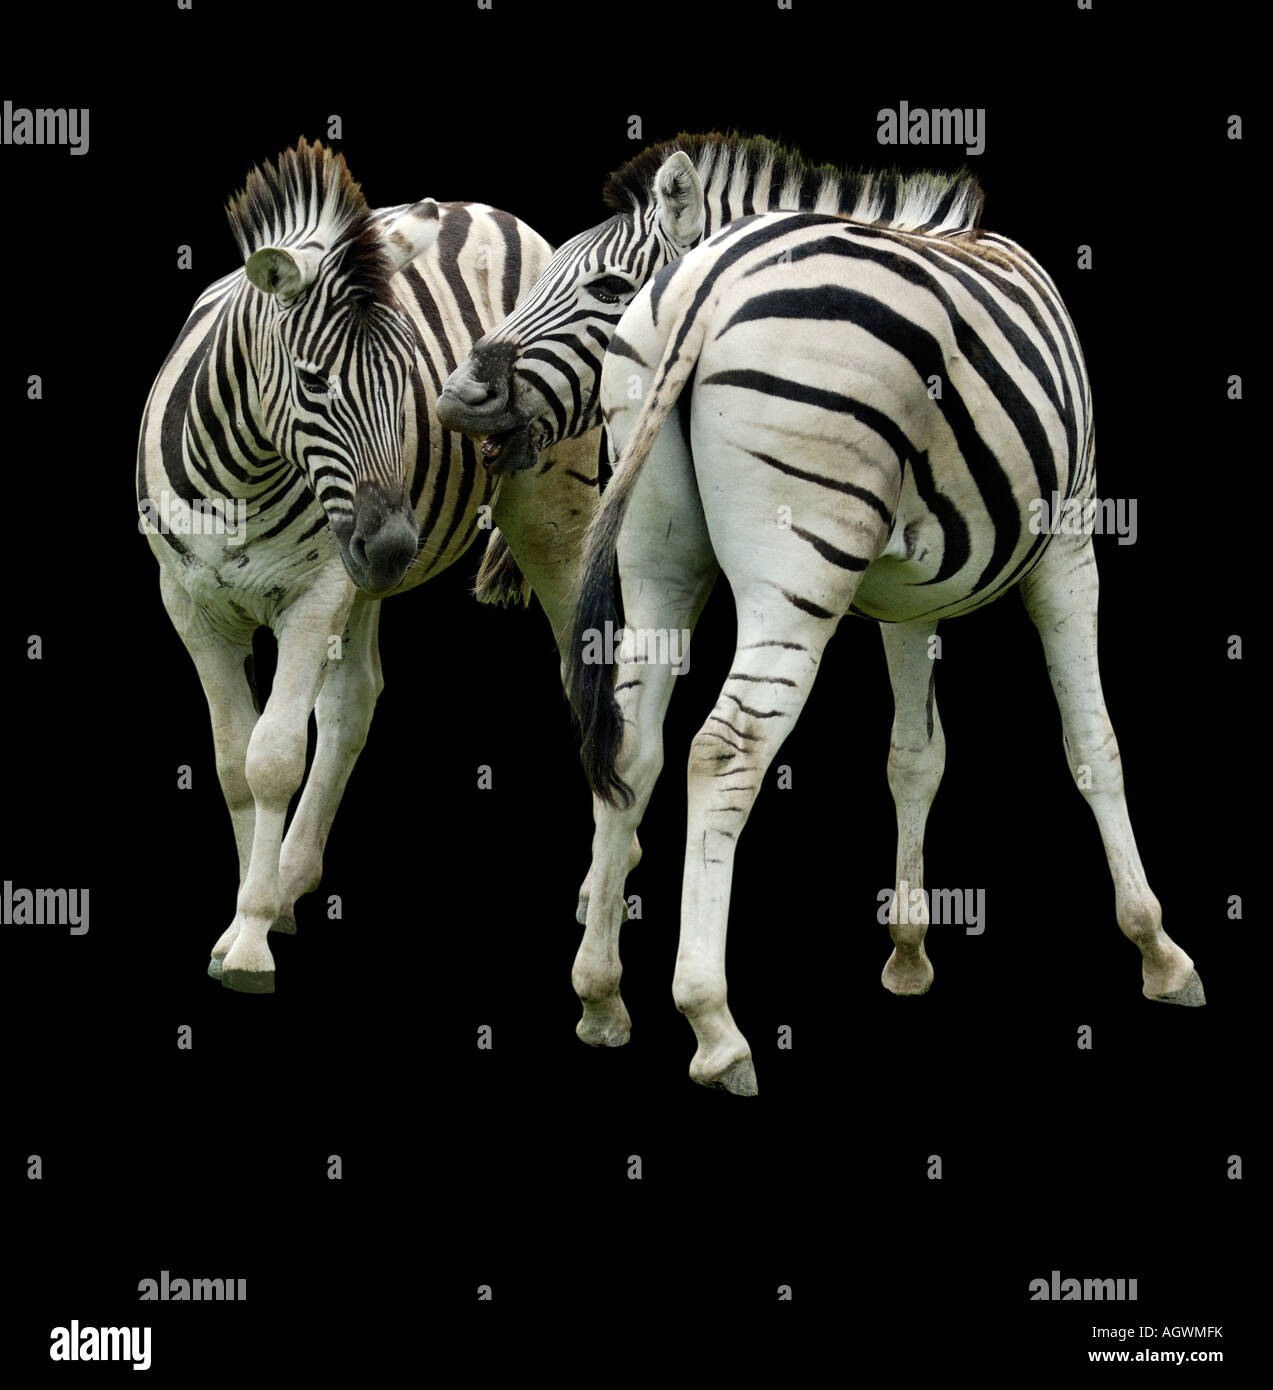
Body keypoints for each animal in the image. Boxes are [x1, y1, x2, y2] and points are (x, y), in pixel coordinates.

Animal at [137, 140, 601, 993]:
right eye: (314, 381)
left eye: (410, 379)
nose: (391, 550)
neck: (244, 473)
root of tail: (482, 206)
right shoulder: (190, 605)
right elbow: (230, 763)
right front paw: (245, 916)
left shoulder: (313, 592)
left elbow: (272, 760)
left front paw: (248, 942)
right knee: (354, 699)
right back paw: (291, 877)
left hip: (547, 519)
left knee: (587, 670)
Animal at [564, 196, 1205, 1095]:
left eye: (603, 282)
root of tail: (707, 279)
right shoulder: (1071, 539)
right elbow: (1092, 744)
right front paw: (1157, 948)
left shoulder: (908, 595)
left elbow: (914, 757)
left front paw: (906, 951)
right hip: (800, 560)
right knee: (725, 751)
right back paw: (715, 1027)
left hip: (656, 559)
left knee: (630, 746)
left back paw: (600, 997)